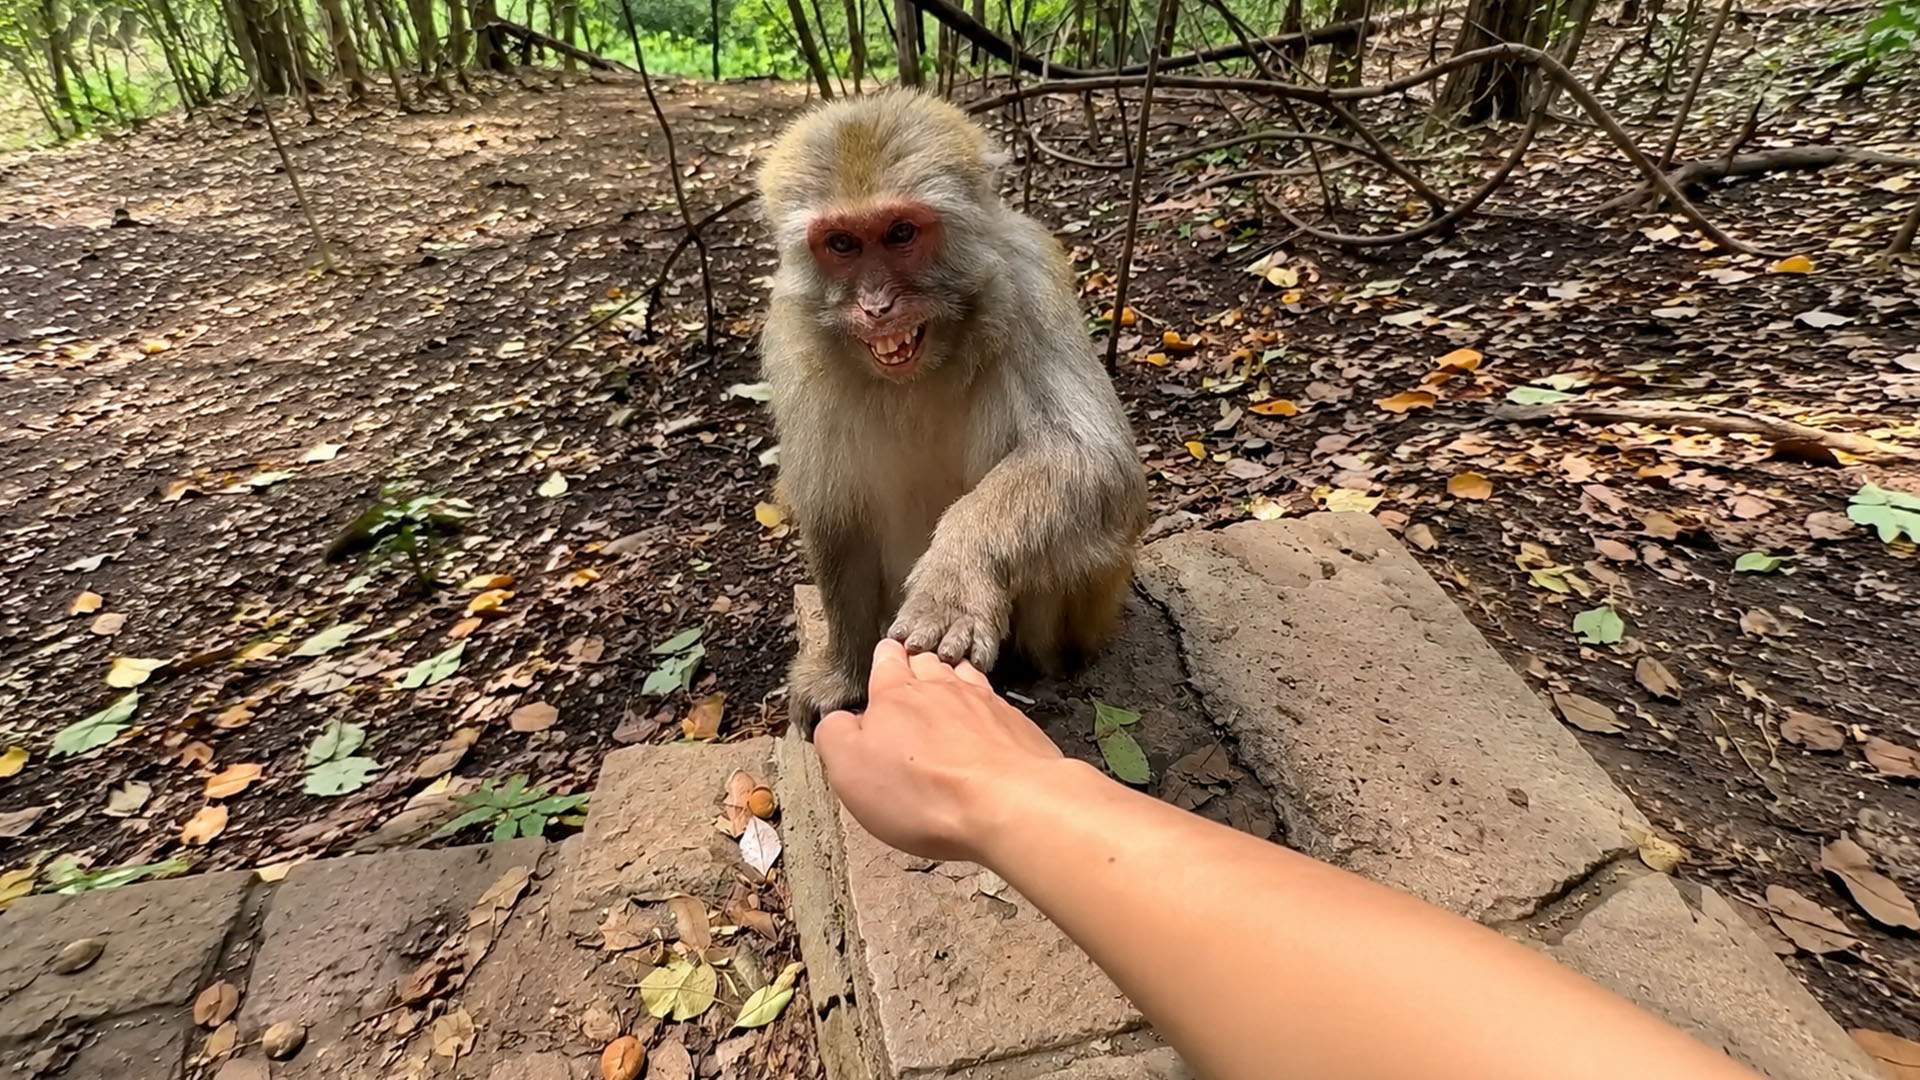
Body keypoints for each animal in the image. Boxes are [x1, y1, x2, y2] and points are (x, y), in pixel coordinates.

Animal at [757, 90, 1148, 725]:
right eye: (841, 244)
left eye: (900, 232)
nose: (876, 307)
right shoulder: (792, 343)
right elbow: (834, 505)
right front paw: (848, 672)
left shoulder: (1028, 284)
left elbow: (1092, 458)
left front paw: (954, 578)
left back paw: (1039, 669)